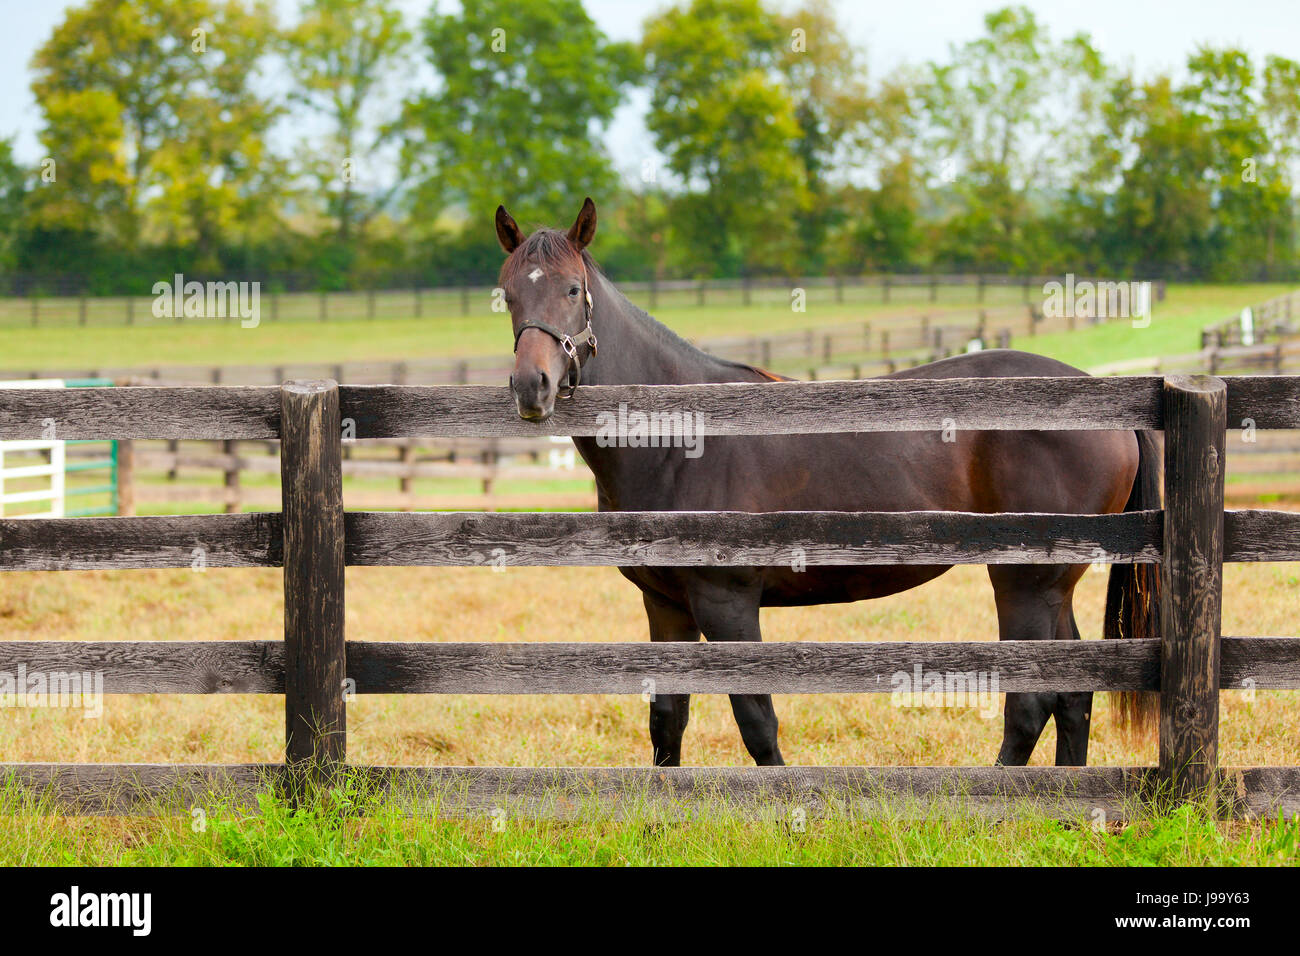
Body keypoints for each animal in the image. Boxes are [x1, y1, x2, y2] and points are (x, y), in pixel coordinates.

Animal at [495, 197, 1161, 768]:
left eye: (573, 289)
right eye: (507, 294)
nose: (532, 388)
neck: (682, 437)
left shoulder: (727, 601)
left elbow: (756, 720)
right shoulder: (666, 605)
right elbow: (667, 720)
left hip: (1026, 583)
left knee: (1030, 704)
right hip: (1054, 586)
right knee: (1073, 696)